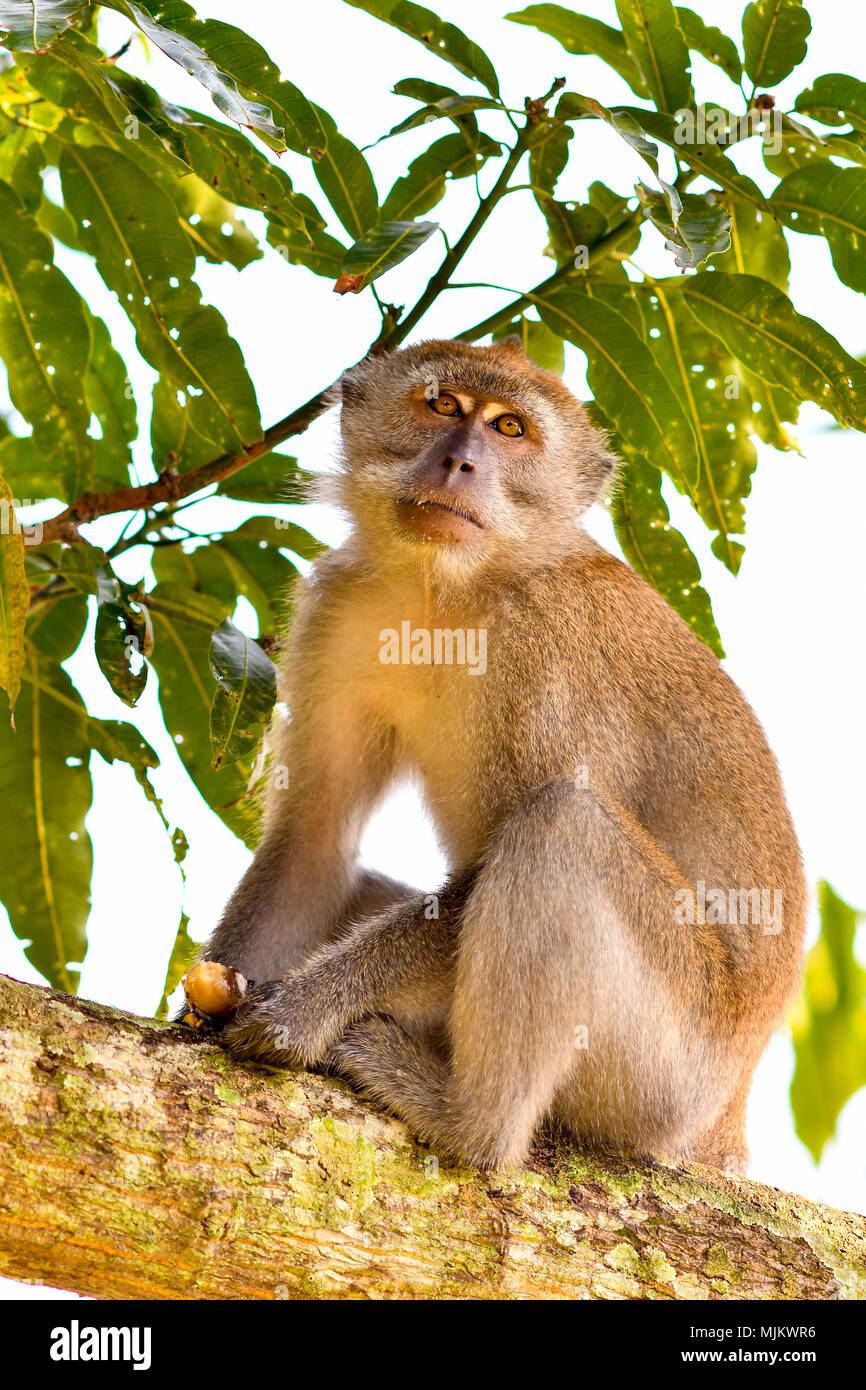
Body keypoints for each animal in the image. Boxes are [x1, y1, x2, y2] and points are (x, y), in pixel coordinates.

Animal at [198, 335, 806, 1174]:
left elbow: (485, 870)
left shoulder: (548, 646)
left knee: (561, 826)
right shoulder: (336, 605)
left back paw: (470, 1125)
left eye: (510, 428)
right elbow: (313, 837)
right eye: (443, 405)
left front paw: (302, 1009)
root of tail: (728, 1121)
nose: (459, 462)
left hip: (666, 1077)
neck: (447, 590)